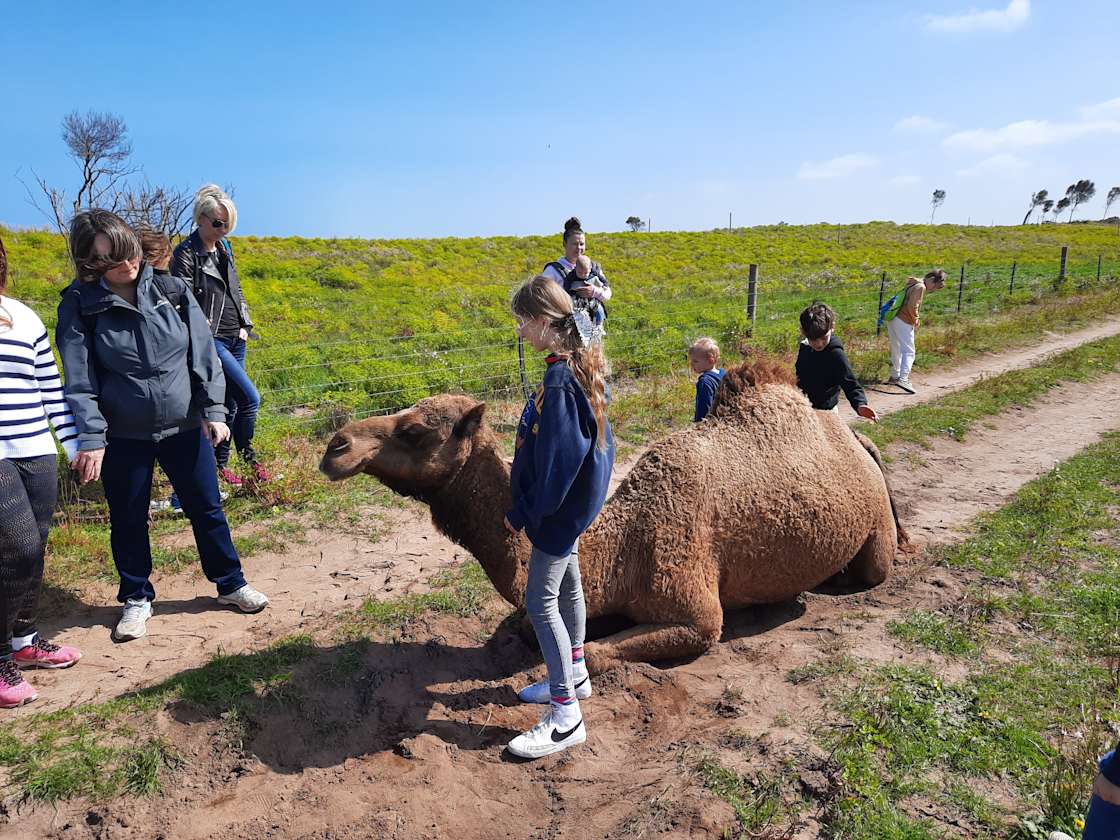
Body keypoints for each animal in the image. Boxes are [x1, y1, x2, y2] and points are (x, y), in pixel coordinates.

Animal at [319, 359, 906, 672]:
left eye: (414, 430)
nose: (335, 447)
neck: (622, 543)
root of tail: (856, 437)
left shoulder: (696, 612)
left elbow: (598, 655)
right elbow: (528, 627)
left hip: (874, 525)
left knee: (873, 569)